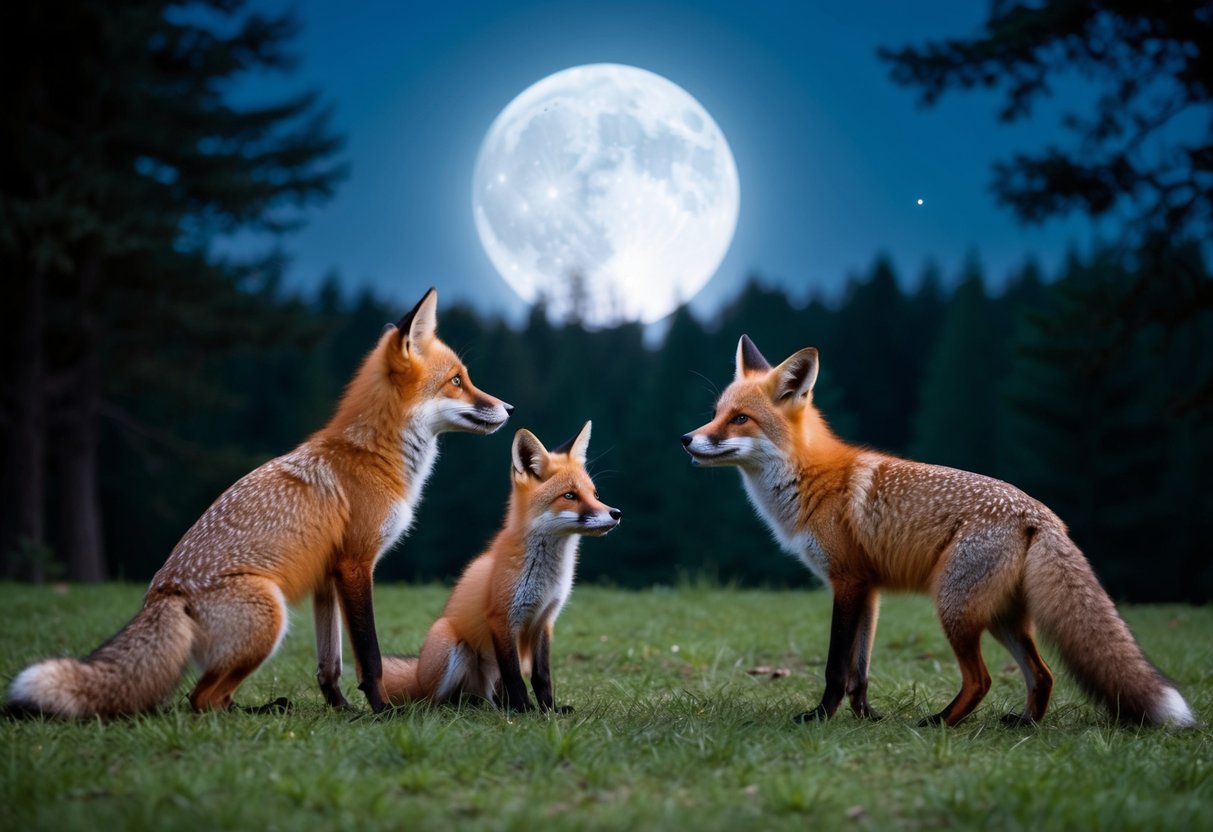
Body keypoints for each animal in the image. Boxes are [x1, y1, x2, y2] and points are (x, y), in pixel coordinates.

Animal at [7, 288, 513, 719]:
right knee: (200, 699)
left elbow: (330, 664)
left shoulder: (327, 575)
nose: (508, 408)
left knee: (210, 697)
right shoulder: (356, 564)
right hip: (271, 613)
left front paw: (342, 711)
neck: (372, 456)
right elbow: (370, 655)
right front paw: (382, 712)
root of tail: (164, 593)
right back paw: (262, 710)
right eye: (457, 381)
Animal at [381, 422, 620, 712]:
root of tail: (417, 676)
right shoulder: (503, 618)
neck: (546, 576)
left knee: (489, 697)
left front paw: (549, 710)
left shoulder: (544, 620)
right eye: (570, 496)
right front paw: (526, 712)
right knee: (436, 701)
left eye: (595, 494)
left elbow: (542, 676)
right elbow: (514, 675)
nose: (617, 513)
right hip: (450, 643)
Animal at [681, 334, 1198, 728]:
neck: (810, 481)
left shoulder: (846, 582)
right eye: (716, 412)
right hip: (1001, 616)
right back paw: (1024, 724)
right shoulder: (869, 590)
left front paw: (820, 718)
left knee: (982, 679)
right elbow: (859, 670)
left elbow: (834, 667)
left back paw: (939, 723)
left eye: (740, 419)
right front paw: (866, 719)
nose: (686, 439)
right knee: (1044, 674)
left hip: (955, 607)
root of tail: (1040, 514)